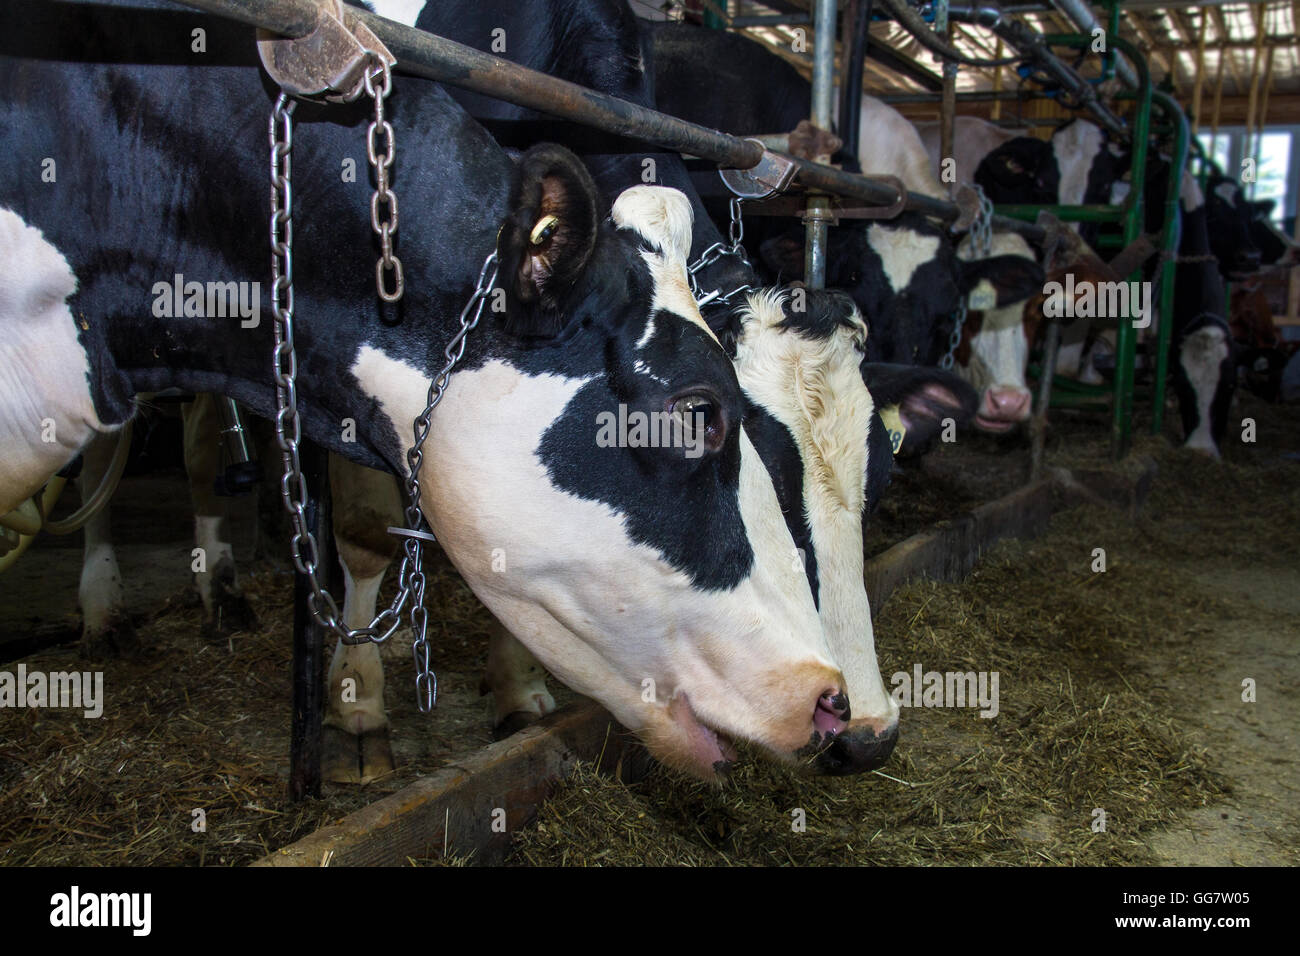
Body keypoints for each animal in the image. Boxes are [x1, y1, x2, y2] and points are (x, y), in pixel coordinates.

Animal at [2, 0, 864, 780]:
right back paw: (117, 604)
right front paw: (358, 713)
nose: (843, 710)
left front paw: (517, 693)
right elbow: (367, 533)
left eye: (879, 465)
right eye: (700, 415)